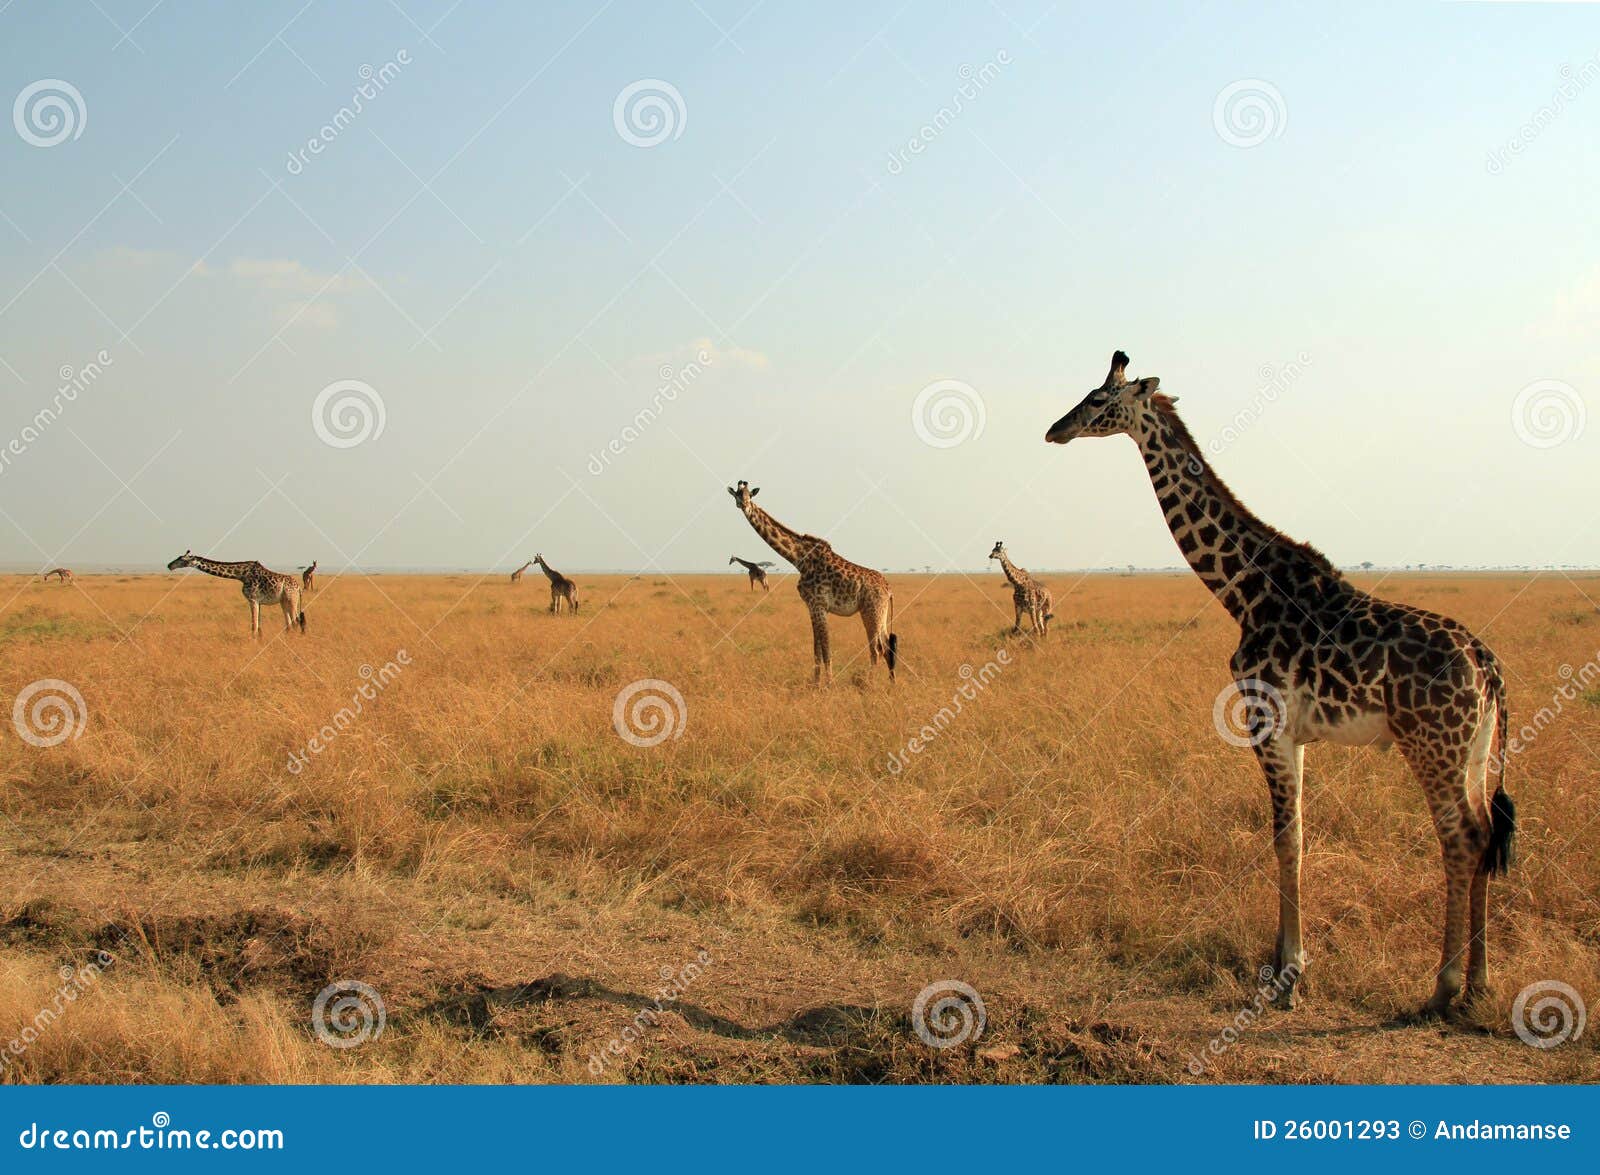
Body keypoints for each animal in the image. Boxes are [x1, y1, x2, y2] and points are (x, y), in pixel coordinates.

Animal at [167, 550, 307, 637]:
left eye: (181, 559)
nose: (169, 565)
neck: (241, 575)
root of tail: (299, 588)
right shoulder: (257, 601)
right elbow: (258, 625)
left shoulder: (253, 599)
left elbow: (254, 625)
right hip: (284, 601)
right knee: (290, 624)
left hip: (291, 599)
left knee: (296, 621)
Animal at [727, 480, 896, 684]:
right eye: (737, 494)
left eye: (750, 495)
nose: (744, 505)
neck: (799, 558)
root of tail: (888, 590)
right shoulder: (811, 606)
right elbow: (816, 650)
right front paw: (815, 684)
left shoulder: (819, 605)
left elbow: (826, 650)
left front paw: (829, 685)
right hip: (881, 613)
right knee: (887, 647)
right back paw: (891, 684)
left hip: (871, 610)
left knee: (877, 649)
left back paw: (869, 684)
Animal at [1044, 351, 1515, 1018]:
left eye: (1097, 400)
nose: (1054, 430)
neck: (1244, 591)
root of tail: (1487, 664)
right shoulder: (1294, 733)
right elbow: (1296, 833)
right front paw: (1277, 962)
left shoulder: (1266, 722)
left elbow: (1285, 839)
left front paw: (1290, 977)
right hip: (1475, 749)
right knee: (1485, 835)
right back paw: (1478, 984)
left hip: (1432, 745)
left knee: (1463, 838)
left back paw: (1444, 988)